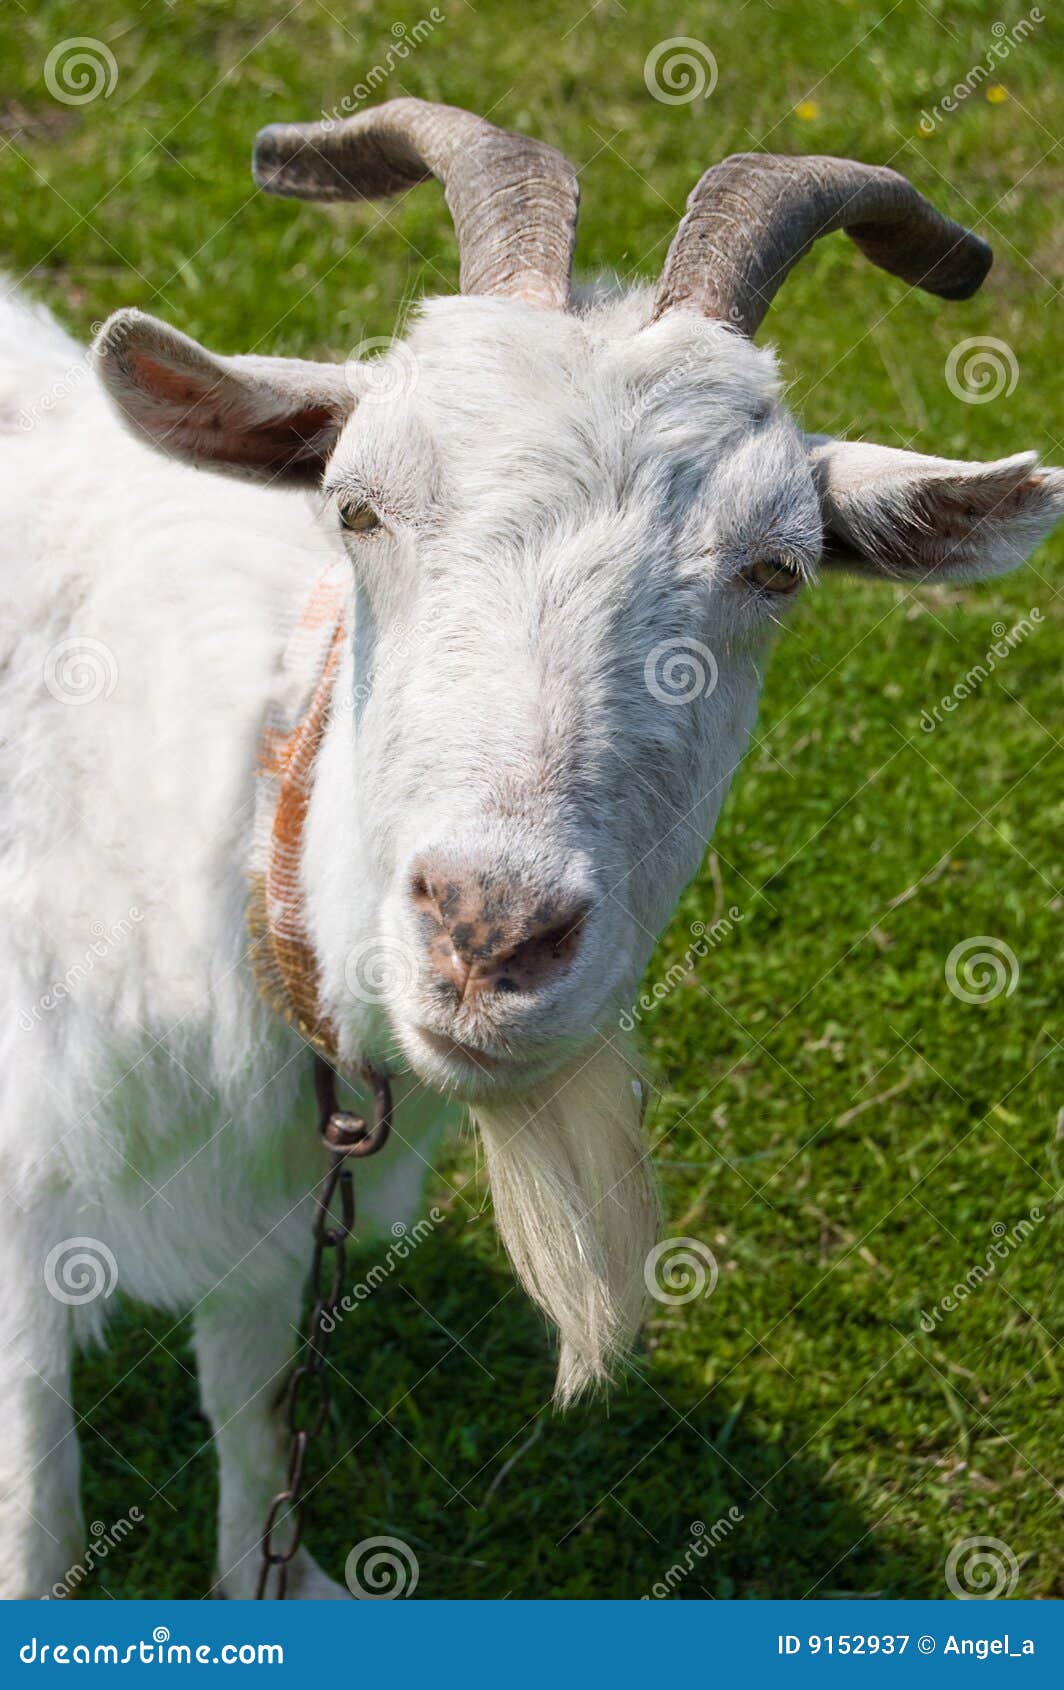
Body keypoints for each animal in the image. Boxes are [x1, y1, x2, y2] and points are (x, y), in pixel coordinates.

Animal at [1, 98, 1060, 1600]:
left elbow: (254, 1414)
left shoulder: (267, 1227)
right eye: (357, 504)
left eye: (777, 568)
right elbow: (38, 1517)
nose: (489, 929)